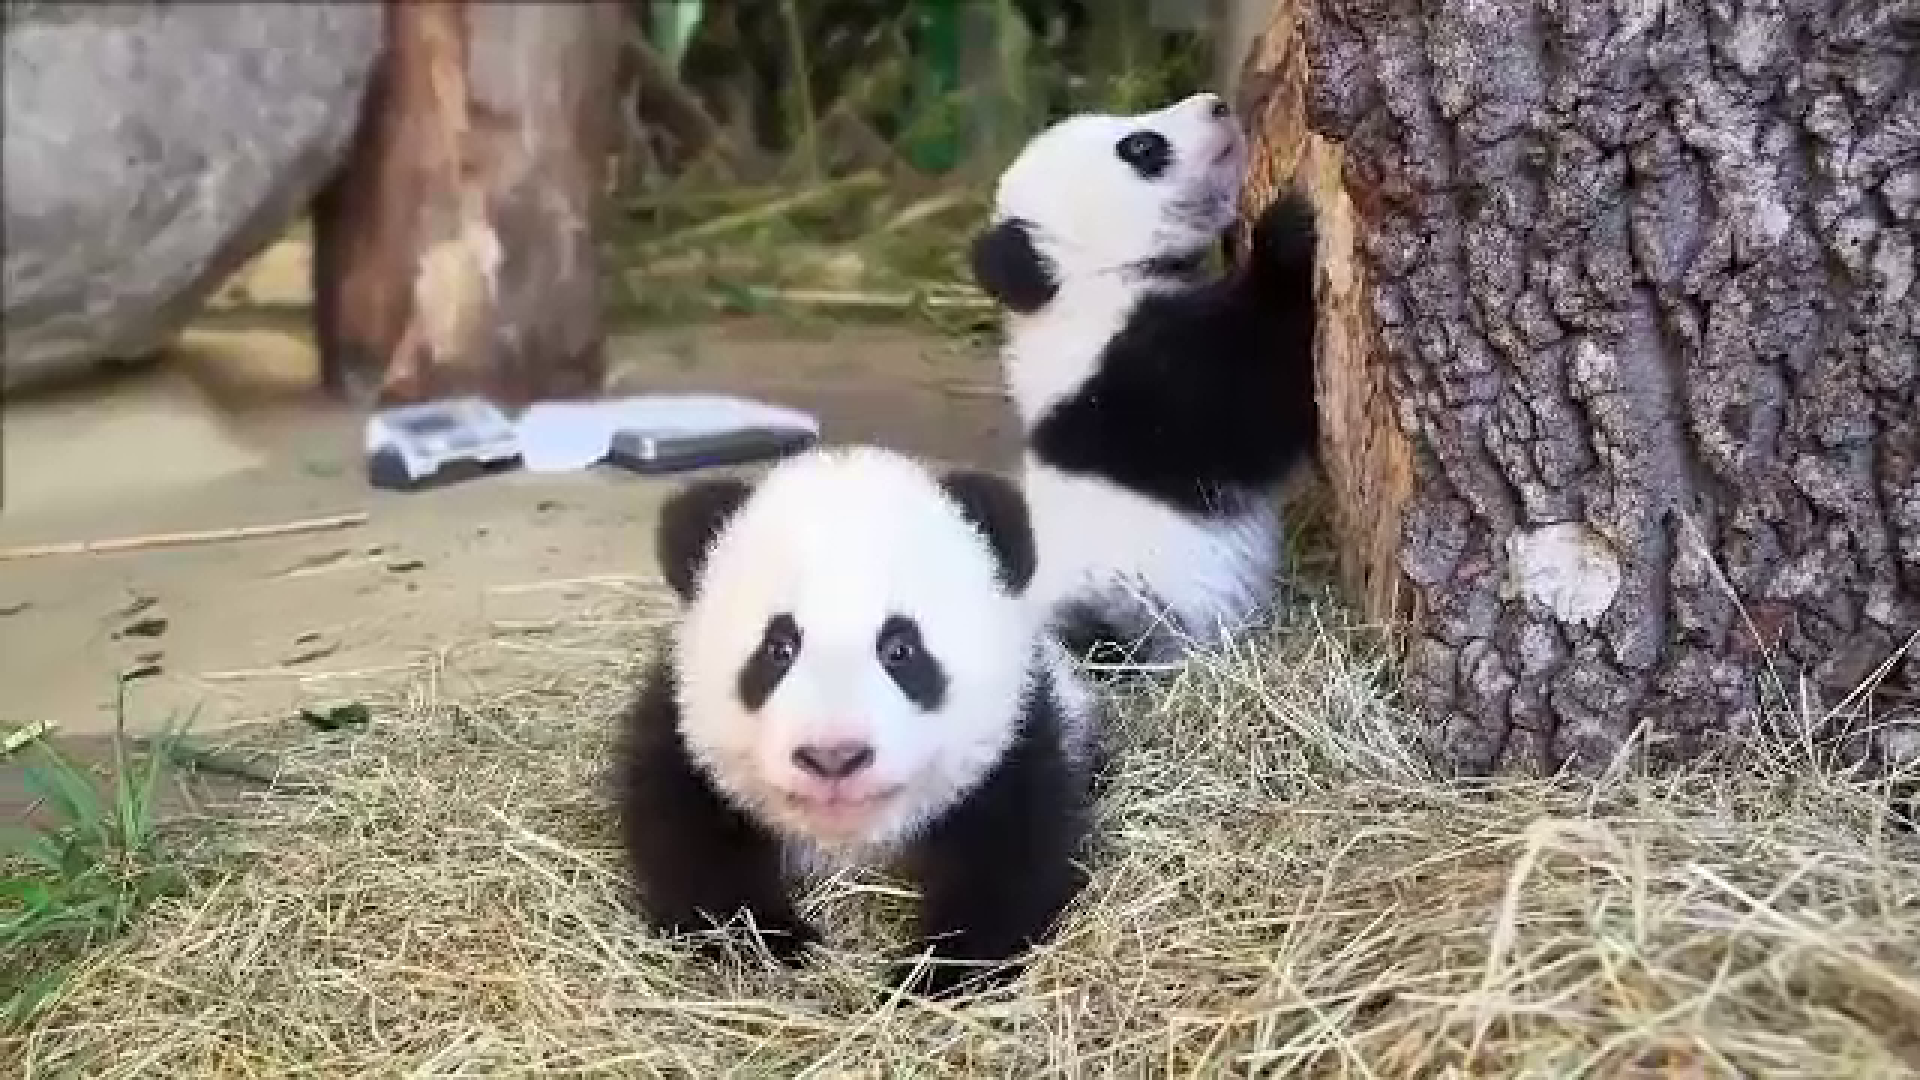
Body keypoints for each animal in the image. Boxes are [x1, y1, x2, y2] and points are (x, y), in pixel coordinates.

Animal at [617, 445, 1105, 1001]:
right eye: (778, 648)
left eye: (901, 649)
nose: (834, 757)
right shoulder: (683, 734)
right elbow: (684, 837)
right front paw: (776, 943)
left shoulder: (1019, 733)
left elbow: (1014, 857)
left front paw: (934, 972)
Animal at [968, 91, 1320, 668]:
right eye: (1140, 146)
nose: (1217, 104)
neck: (1084, 289)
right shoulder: (1137, 379)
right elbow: (1248, 402)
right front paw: (1287, 234)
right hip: (1117, 606)